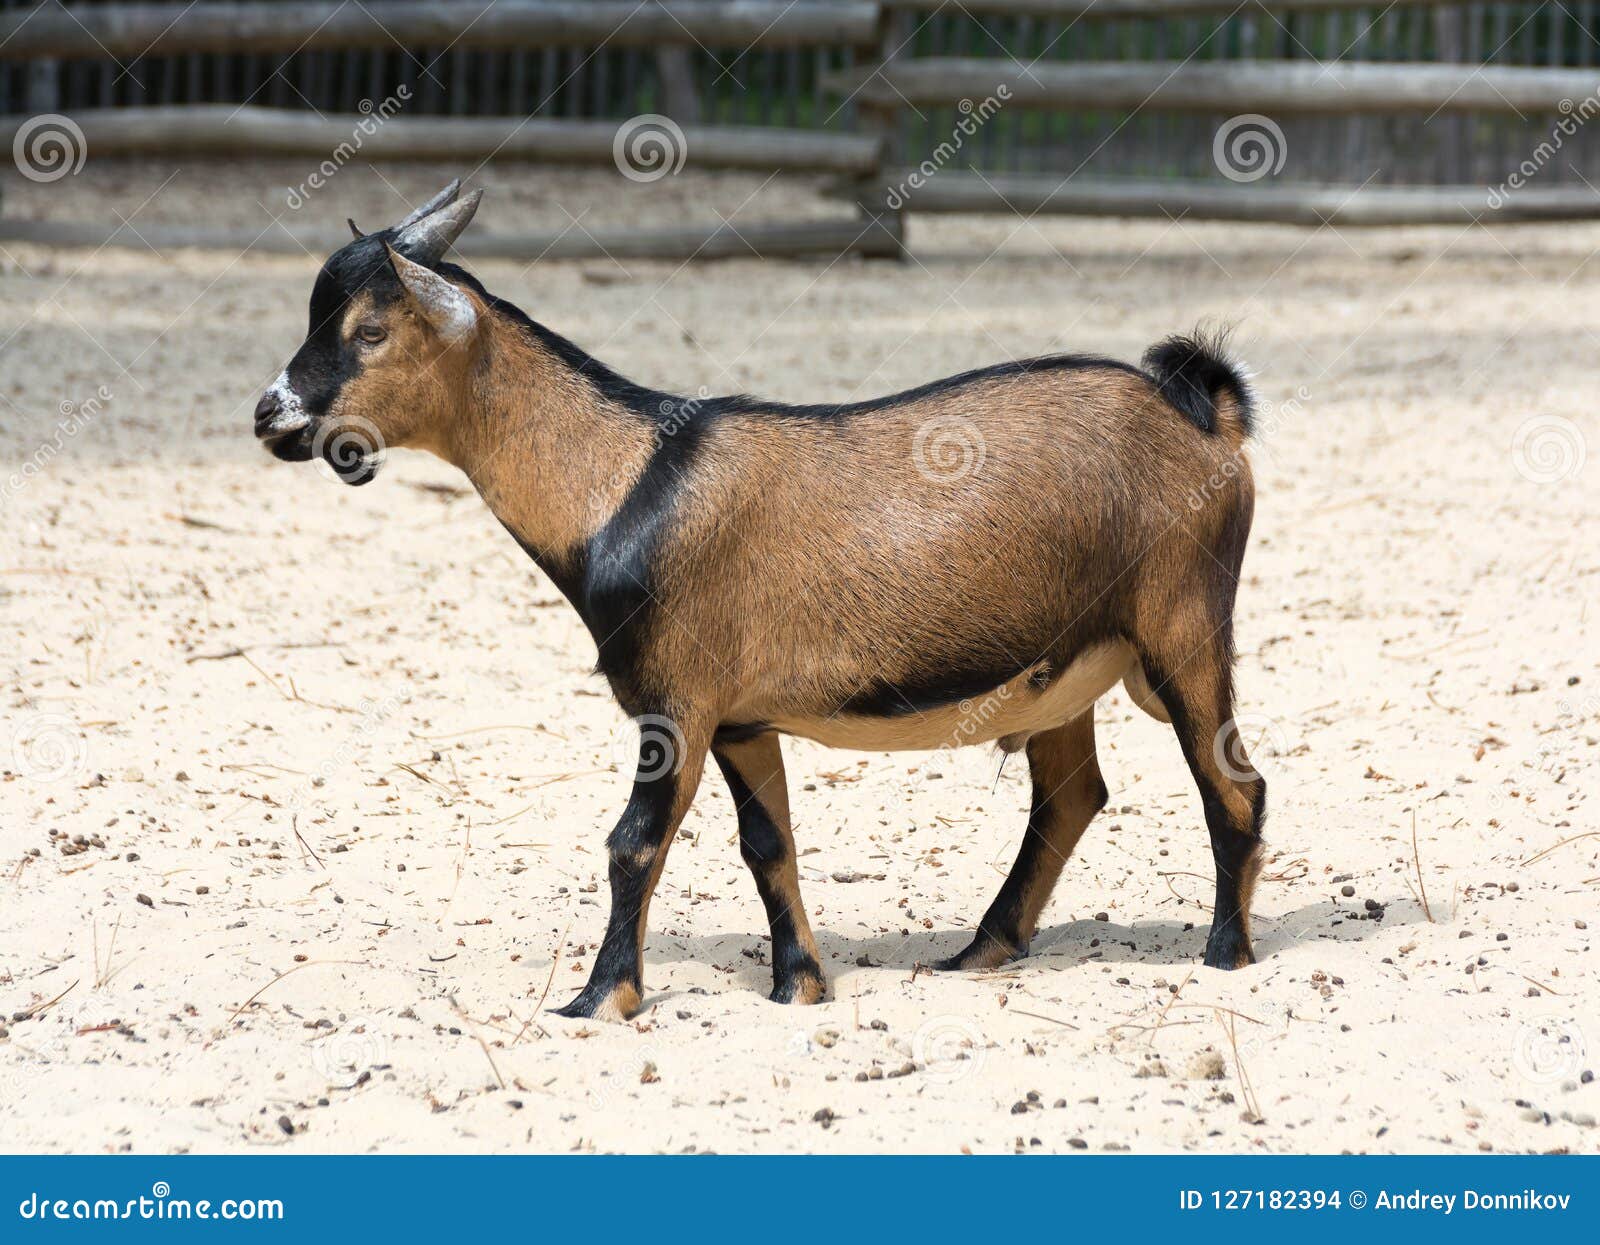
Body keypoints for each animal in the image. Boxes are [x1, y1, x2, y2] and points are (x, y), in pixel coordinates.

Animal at [253, 182, 1270, 1022]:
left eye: (371, 332)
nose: (272, 414)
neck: (622, 479)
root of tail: (1204, 417)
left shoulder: (678, 702)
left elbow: (633, 841)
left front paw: (599, 999)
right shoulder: (740, 717)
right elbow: (766, 844)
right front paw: (800, 984)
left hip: (1181, 627)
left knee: (1232, 781)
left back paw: (1227, 953)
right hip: (1062, 669)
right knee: (1070, 793)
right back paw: (978, 951)